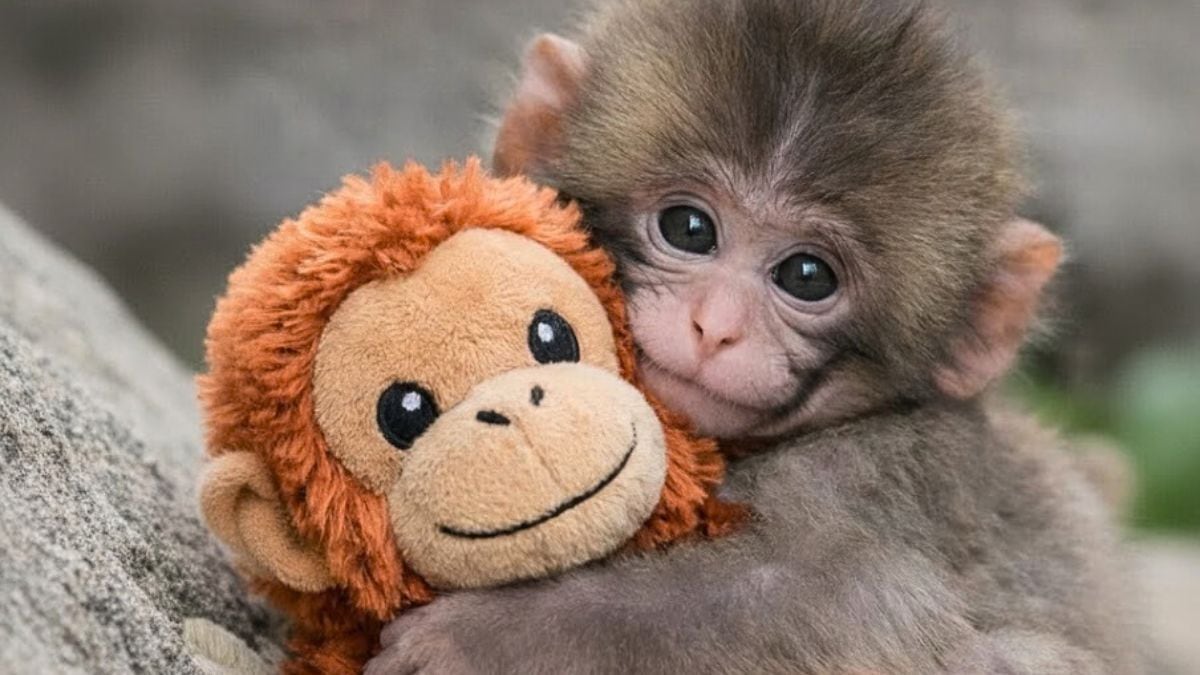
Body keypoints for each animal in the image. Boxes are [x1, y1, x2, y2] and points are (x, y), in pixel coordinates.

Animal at [365, 1, 1140, 673]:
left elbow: (857, 593)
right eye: (689, 228)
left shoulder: (887, 467)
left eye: (806, 275)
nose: (717, 327)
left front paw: (480, 639)